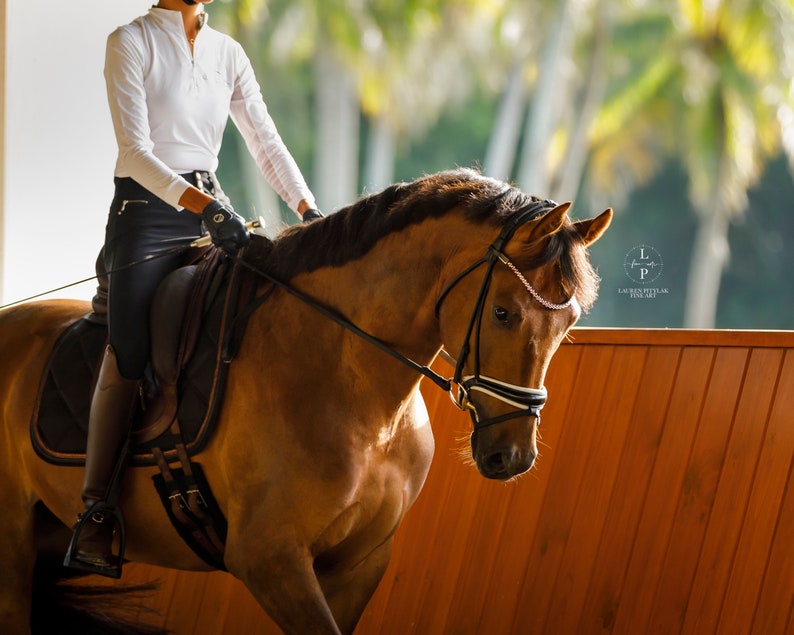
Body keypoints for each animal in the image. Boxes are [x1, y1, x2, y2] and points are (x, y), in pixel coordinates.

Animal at [0, 168, 611, 634]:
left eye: (569, 325)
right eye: (504, 312)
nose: (513, 457)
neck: (357, 391)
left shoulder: (360, 563)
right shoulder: (271, 560)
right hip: (12, 549)